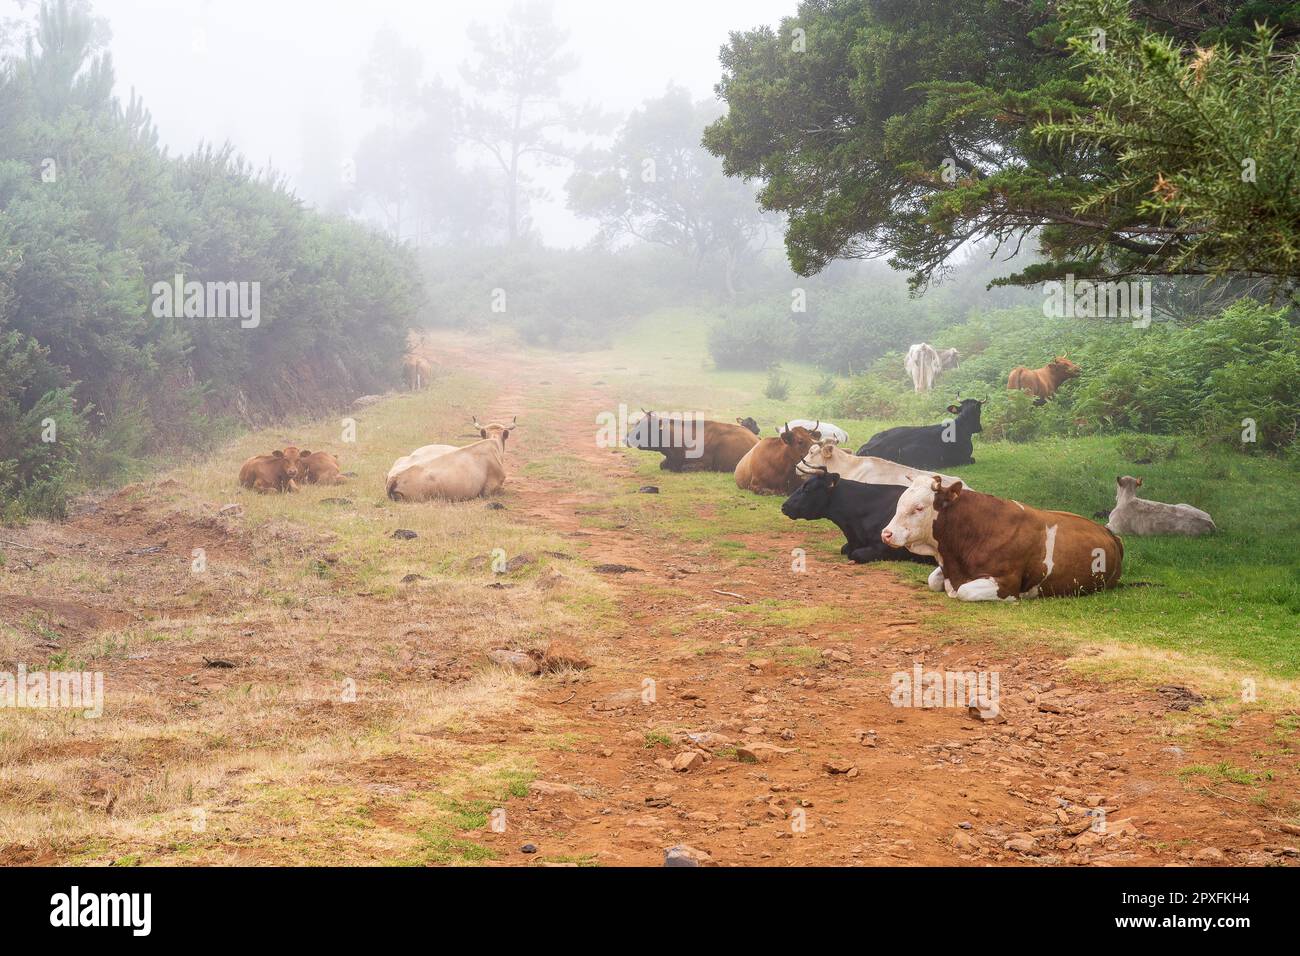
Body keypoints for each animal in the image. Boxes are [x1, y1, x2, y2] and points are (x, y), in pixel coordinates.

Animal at [881, 475, 1123, 600]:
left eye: (919, 508)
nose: (886, 533)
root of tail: (1110, 534)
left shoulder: (1006, 583)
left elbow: (964, 592)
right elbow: (933, 580)